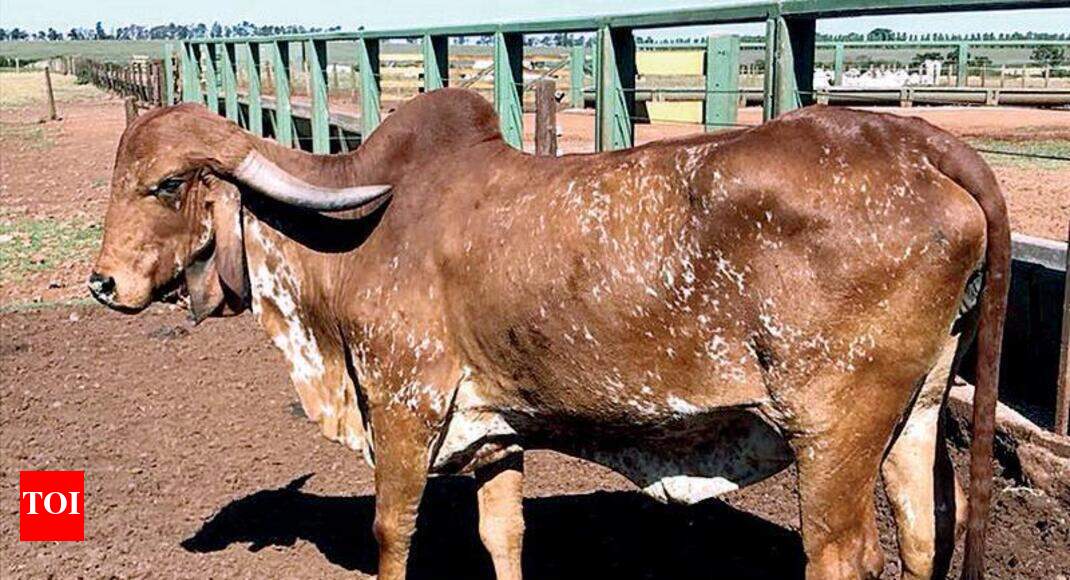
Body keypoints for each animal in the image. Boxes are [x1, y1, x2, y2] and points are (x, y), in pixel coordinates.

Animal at [89, 88, 1008, 580]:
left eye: (165, 185)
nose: (102, 283)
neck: (349, 234)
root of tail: (919, 141)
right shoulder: (494, 432)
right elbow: (503, 535)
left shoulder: (405, 406)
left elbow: (391, 533)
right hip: (916, 411)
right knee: (923, 532)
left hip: (832, 432)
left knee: (844, 554)